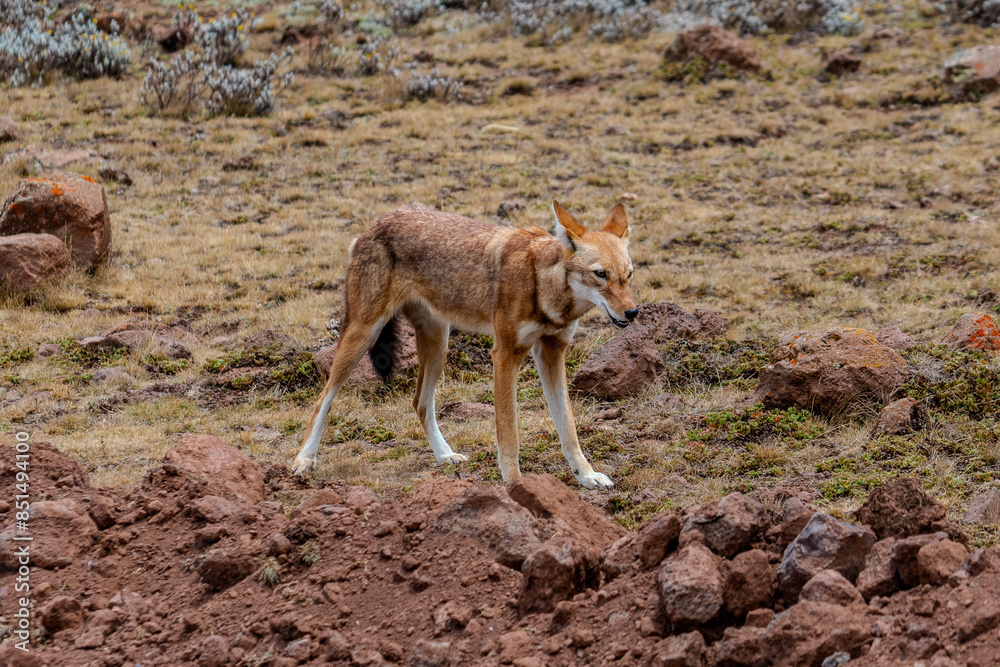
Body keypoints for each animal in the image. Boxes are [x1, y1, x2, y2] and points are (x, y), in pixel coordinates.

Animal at [291, 200, 637, 489]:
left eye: (628, 275)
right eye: (600, 274)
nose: (632, 313)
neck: (541, 283)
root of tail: (378, 222)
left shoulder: (552, 352)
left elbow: (568, 428)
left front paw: (587, 476)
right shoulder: (505, 356)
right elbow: (509, 432)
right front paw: (517, 485)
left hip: (438, 345)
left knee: (419, 403)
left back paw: (445, 456)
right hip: (361, 336)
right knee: (323, 398)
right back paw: (304, 460)